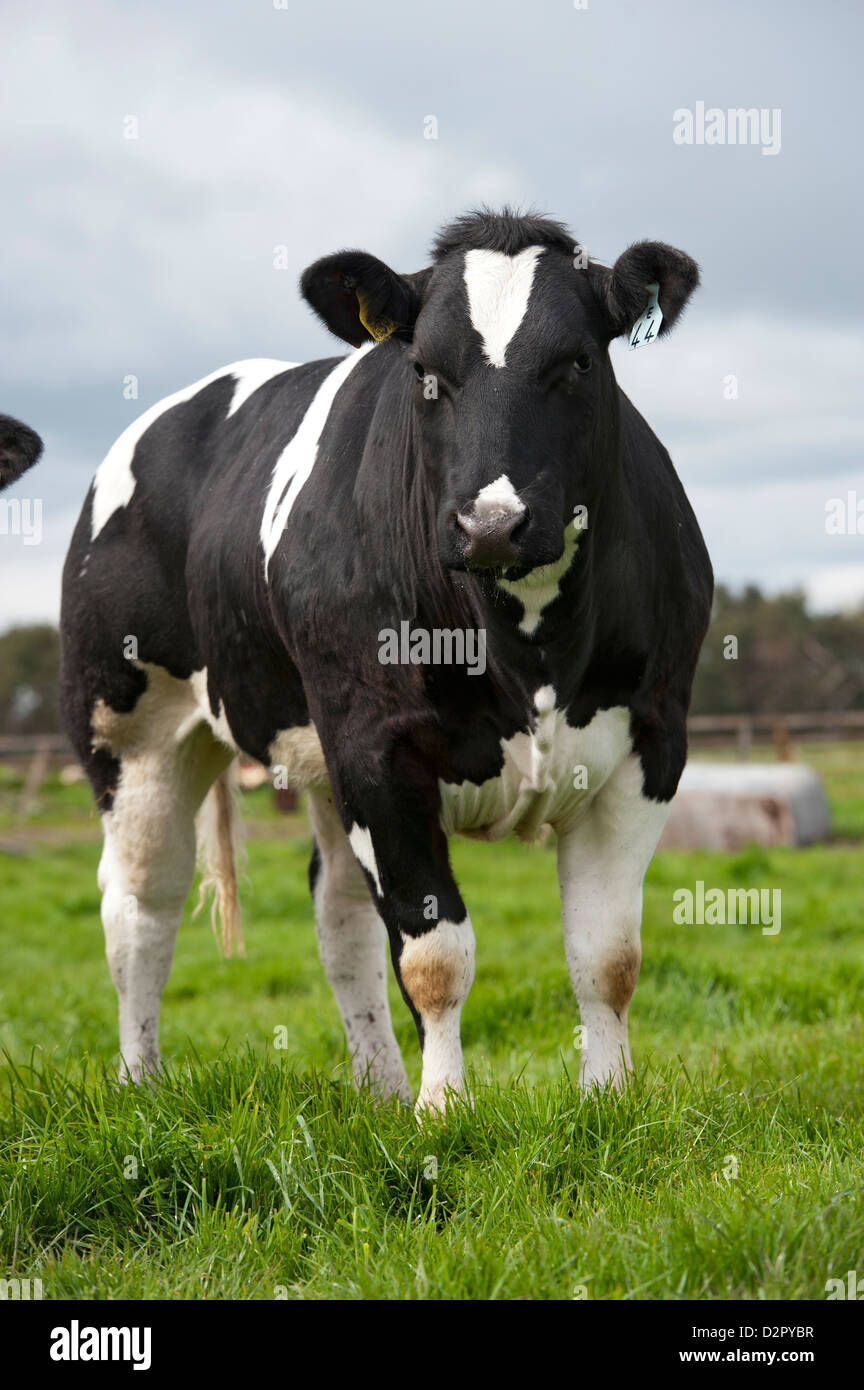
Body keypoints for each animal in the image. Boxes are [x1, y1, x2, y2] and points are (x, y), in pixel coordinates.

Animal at [60, 209, 712, 1114]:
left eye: (580, 362)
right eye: (426, 373)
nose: (491, 524)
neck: (528, 643)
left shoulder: (651, 742)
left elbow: (608, 956)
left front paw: (606, 1101)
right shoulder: (377, 748)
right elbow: (435, 957)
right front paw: (444, 1112)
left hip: (315, 749)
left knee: (338, 915)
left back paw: (379, 1094)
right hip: (132, 734)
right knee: (140, 908)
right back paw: (143, 1085)